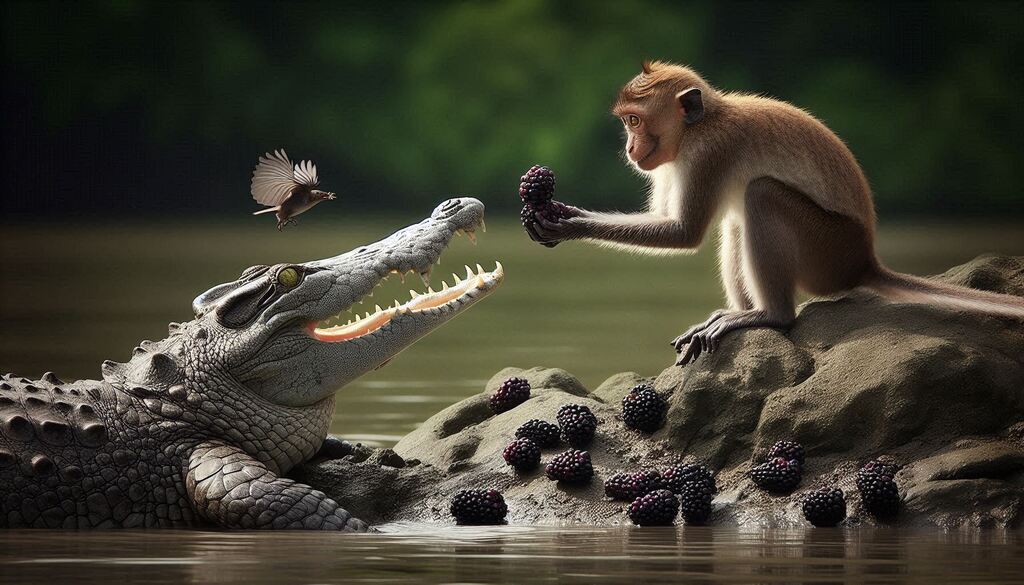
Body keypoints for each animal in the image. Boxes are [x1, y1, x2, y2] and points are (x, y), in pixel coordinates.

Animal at [527, 60, 1024, 366]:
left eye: (634, 121)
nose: (630, 149)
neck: (698, 128)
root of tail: (865, 260)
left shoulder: (710, 153)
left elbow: (684, 231)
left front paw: (567, 222)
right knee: (736, 220)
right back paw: (739, 313)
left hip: (828, 252)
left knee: (761, 196)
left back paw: (770, 316)